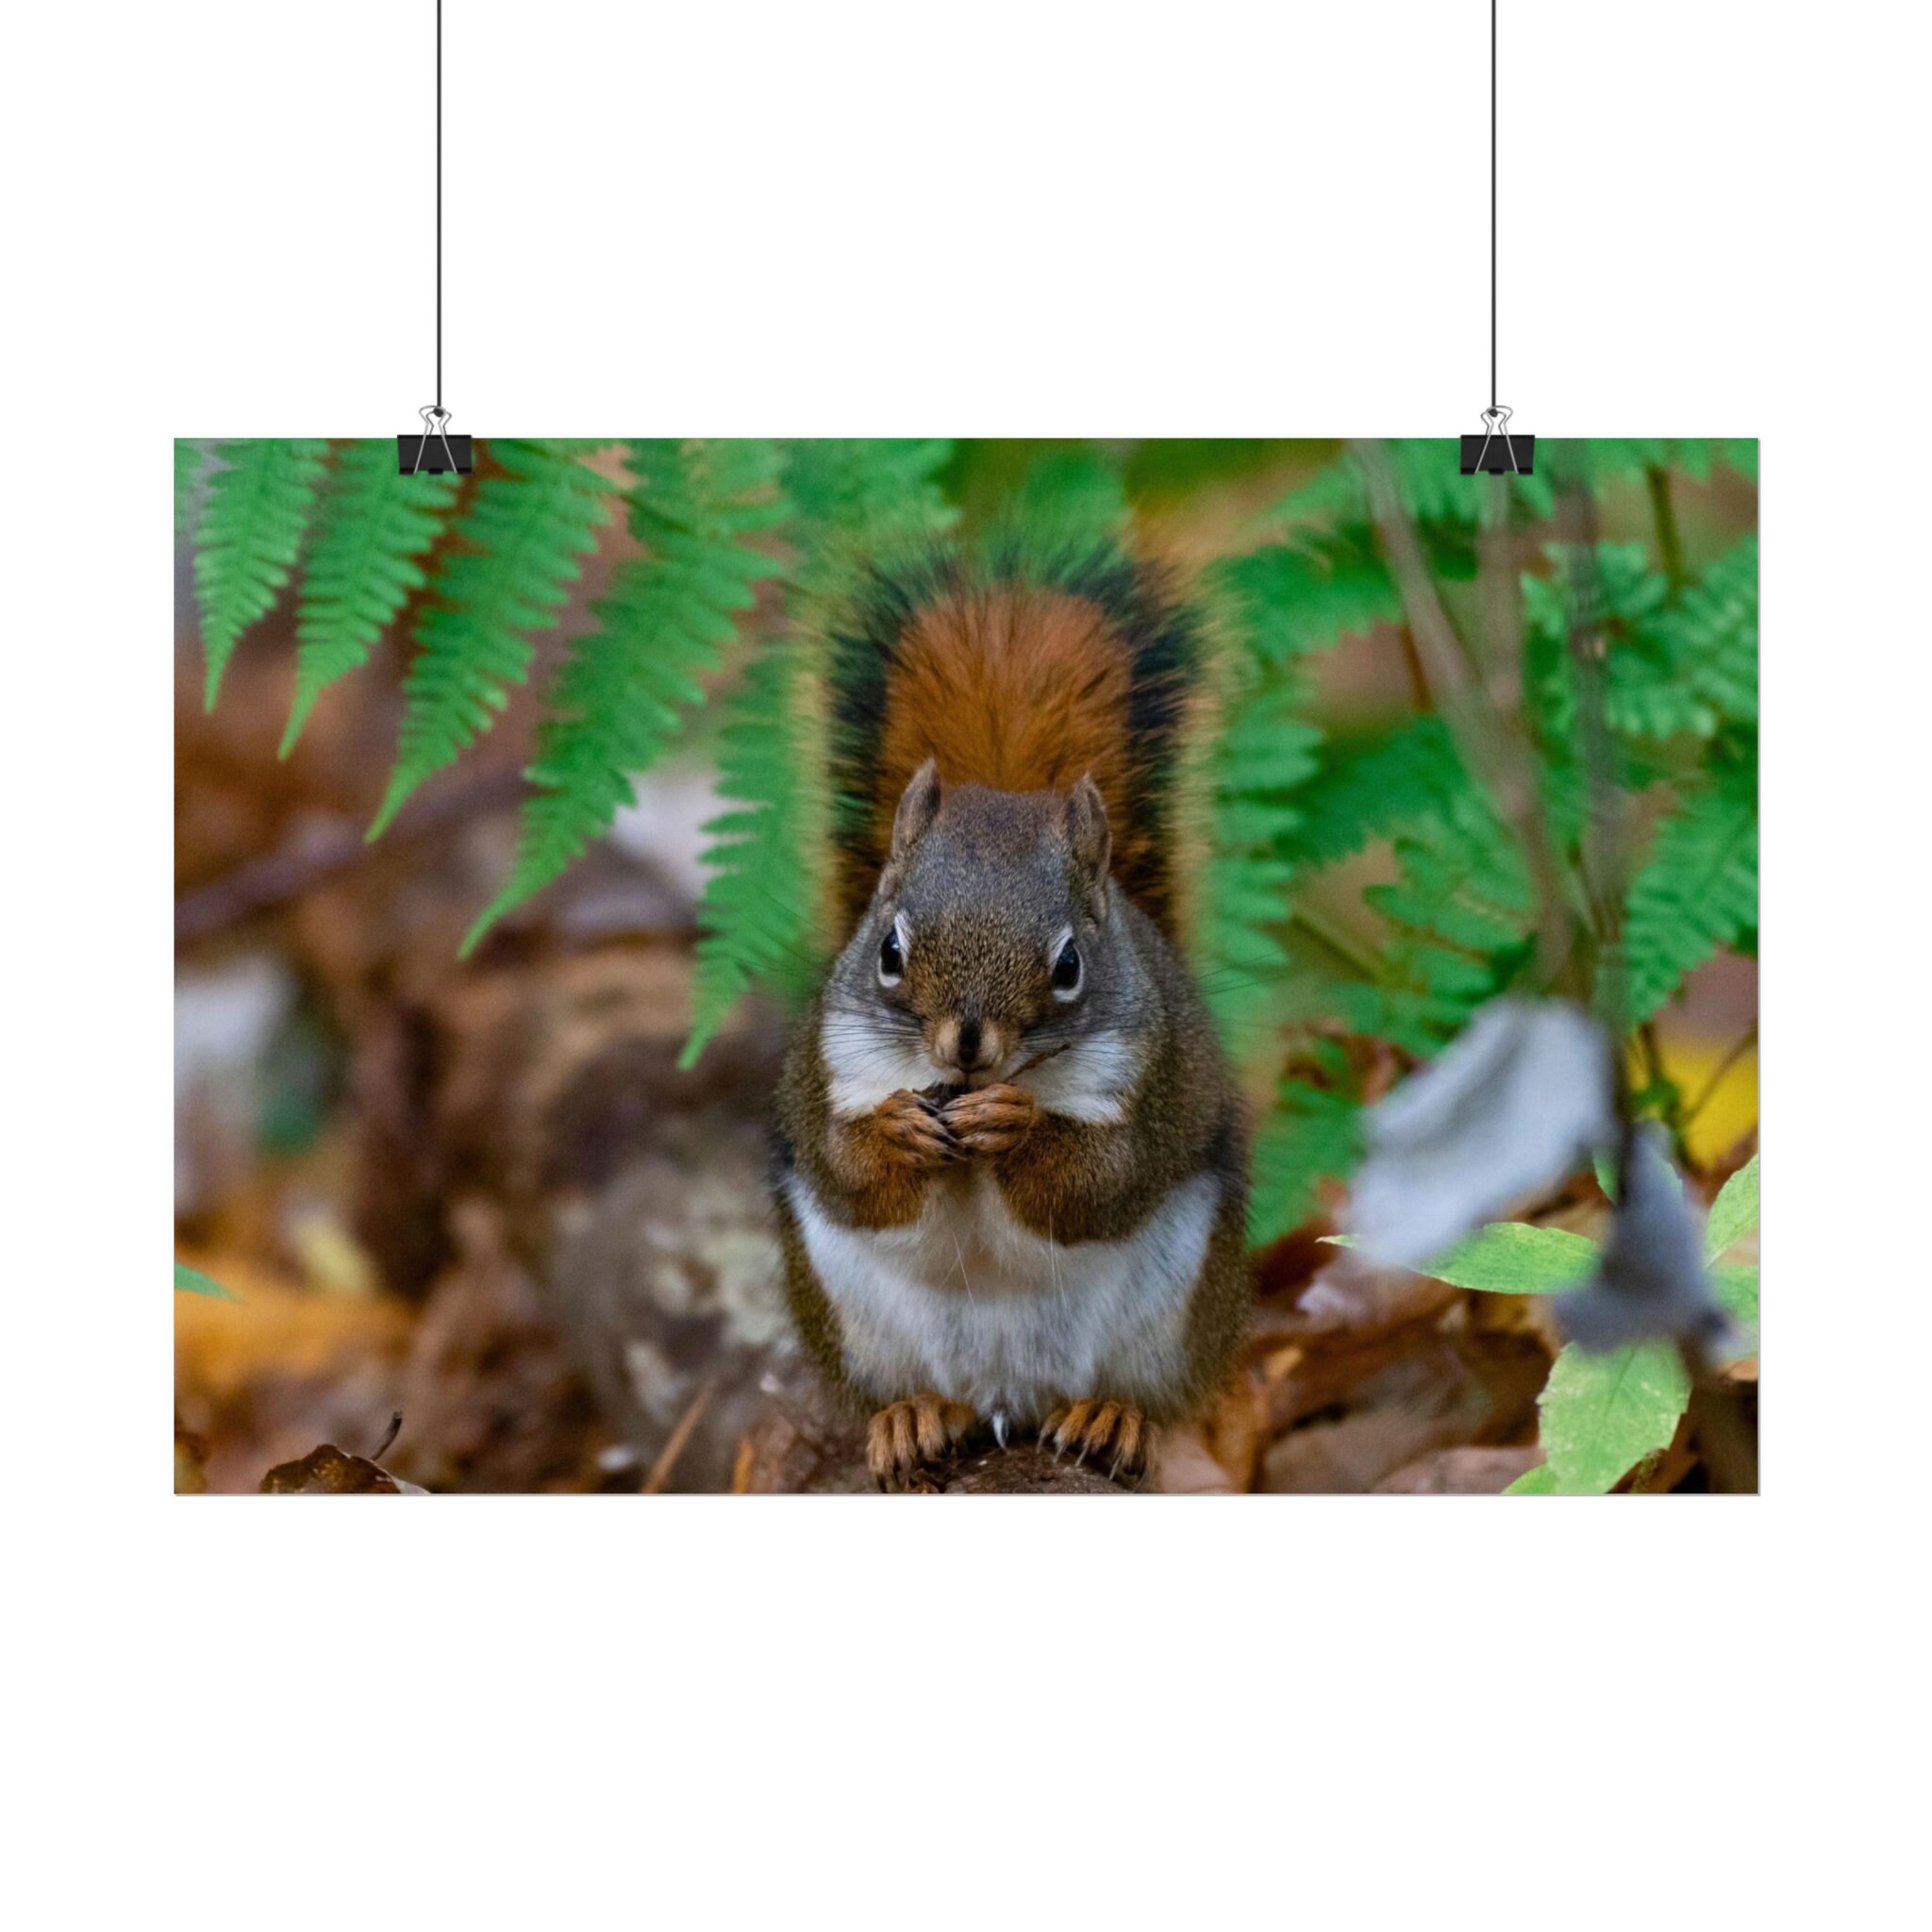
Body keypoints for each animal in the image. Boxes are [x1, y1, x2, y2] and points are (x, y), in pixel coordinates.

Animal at [771, 544, 1250, 1486]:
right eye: (889, 949)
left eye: (1068, 967)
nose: (965, 1047)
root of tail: (1007, 1401)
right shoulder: (823, 1063)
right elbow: (845, 1167)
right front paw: (895, 1132)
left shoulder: (1147, 1079)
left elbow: (1099, 1183)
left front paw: (1016, 1125)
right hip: (854, 1325)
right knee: (906, 1390)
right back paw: (913, 1418)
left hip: (1172, 1323)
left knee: (1142, 1394)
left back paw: (1111, 1419)